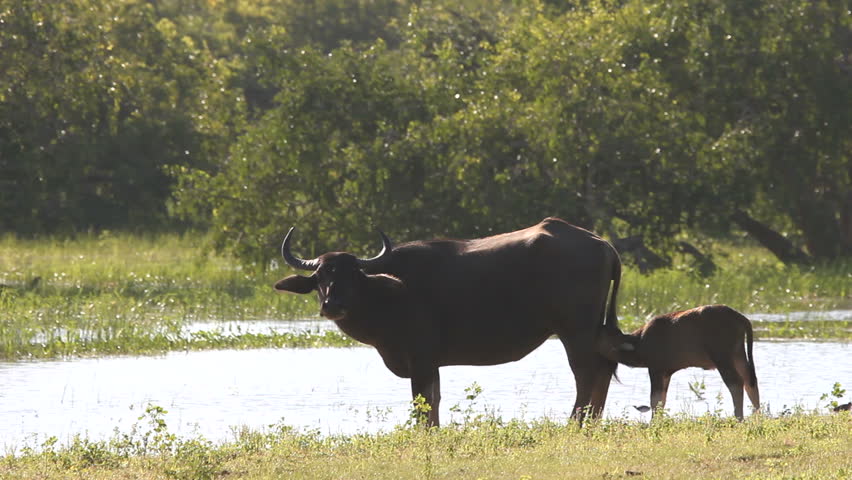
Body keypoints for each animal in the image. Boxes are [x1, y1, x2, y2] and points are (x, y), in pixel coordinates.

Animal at [274, 217, 622, 426]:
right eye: (320, 277)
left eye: (353, 276)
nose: (333, 305)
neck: (390, 292)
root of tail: (602, 243)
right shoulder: (432, 362)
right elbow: (435, 401)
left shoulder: (419, 358)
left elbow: (422, 403)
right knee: (603, 368)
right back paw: (593, 422)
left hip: (573, 329)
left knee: (586, 372)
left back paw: (575, 421)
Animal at [596, 304, 760, 419]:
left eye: (603, 335)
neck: (640, 343)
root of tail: (741, 318)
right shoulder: (666, 373)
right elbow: (662, 400)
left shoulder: (655, 369)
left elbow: (654, 400)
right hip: (738, 355)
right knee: (750, 381)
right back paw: (757, 416)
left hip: (723, 358)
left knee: (736, 383)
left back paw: (739, 417)